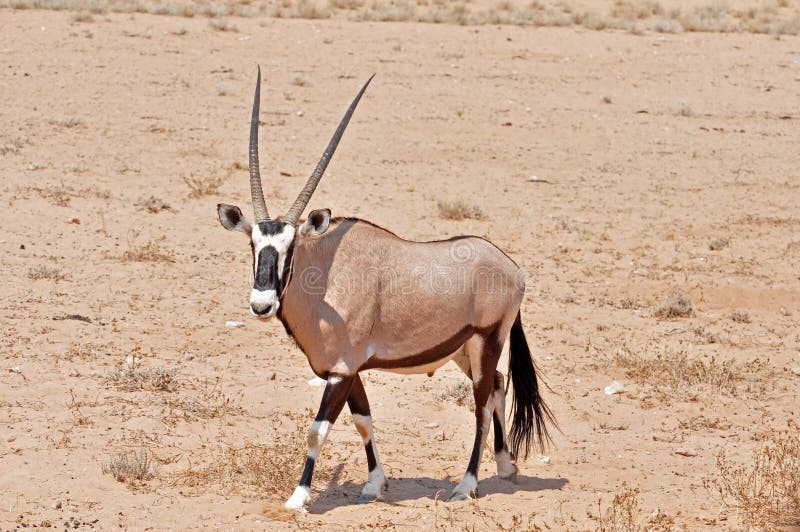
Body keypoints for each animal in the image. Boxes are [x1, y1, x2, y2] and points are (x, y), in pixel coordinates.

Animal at [216, 67, 556, 511]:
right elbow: (364, 420)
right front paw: (375, 484)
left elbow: (318, 429)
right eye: (254, 244)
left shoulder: (341, 371)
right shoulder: (346, 371)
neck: (326, 278)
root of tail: (511, 267)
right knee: (498, 386)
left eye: (291, 248)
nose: (262, 304)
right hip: (464, 350)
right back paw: (505, 465)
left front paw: (299, 497)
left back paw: (465, 485)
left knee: (482, 406)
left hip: (488, 341)